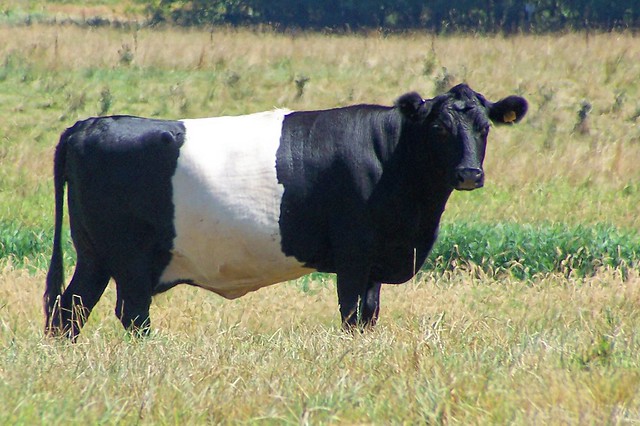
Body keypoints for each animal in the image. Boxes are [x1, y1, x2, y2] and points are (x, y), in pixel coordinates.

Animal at [44, 84, 527, 339]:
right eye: (440, 128)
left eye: (483, 128)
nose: (469, 173)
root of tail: (90, 124)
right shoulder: (354, 255)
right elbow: (351, 315)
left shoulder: (374, 262)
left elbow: (369, 316)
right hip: (129, 256)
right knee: (131, 313)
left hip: (94, 255)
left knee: (69, 309)